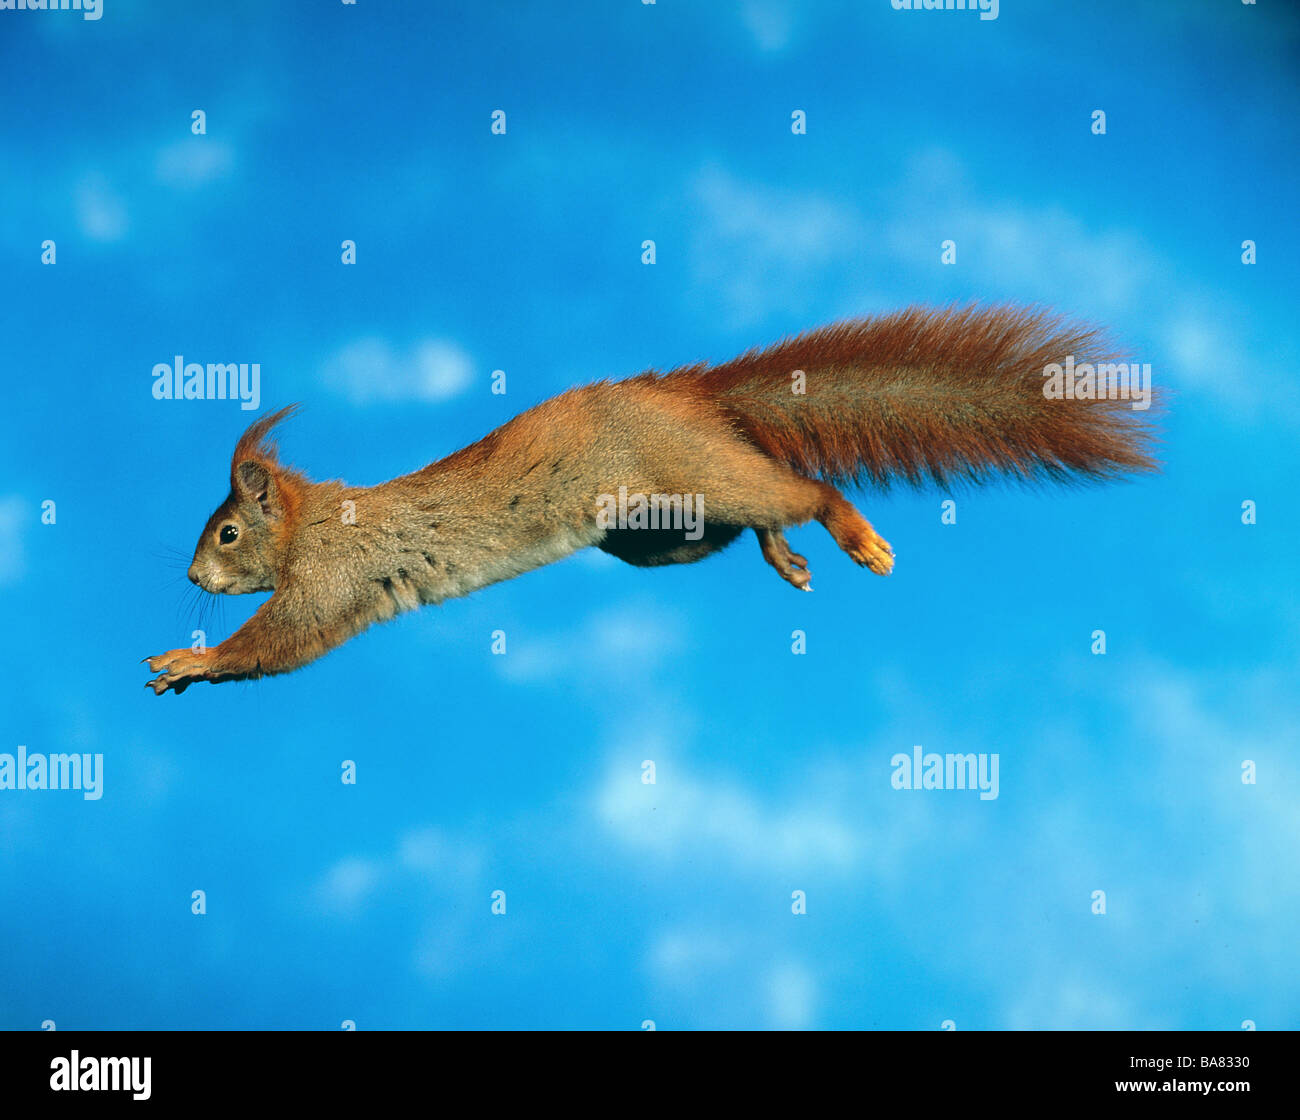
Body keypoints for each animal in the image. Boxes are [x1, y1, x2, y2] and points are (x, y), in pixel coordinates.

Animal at [146, 304, 1158, 694]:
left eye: (225, 533)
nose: (190, 576)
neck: (309, 521)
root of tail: (691, 398)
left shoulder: (332, 575)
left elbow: (280, 640)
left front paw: (192, 659)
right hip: (652, 529)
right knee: (752, 518)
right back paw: (784, 556)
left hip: (695, 474)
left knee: (804, 487)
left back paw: (854, 535)